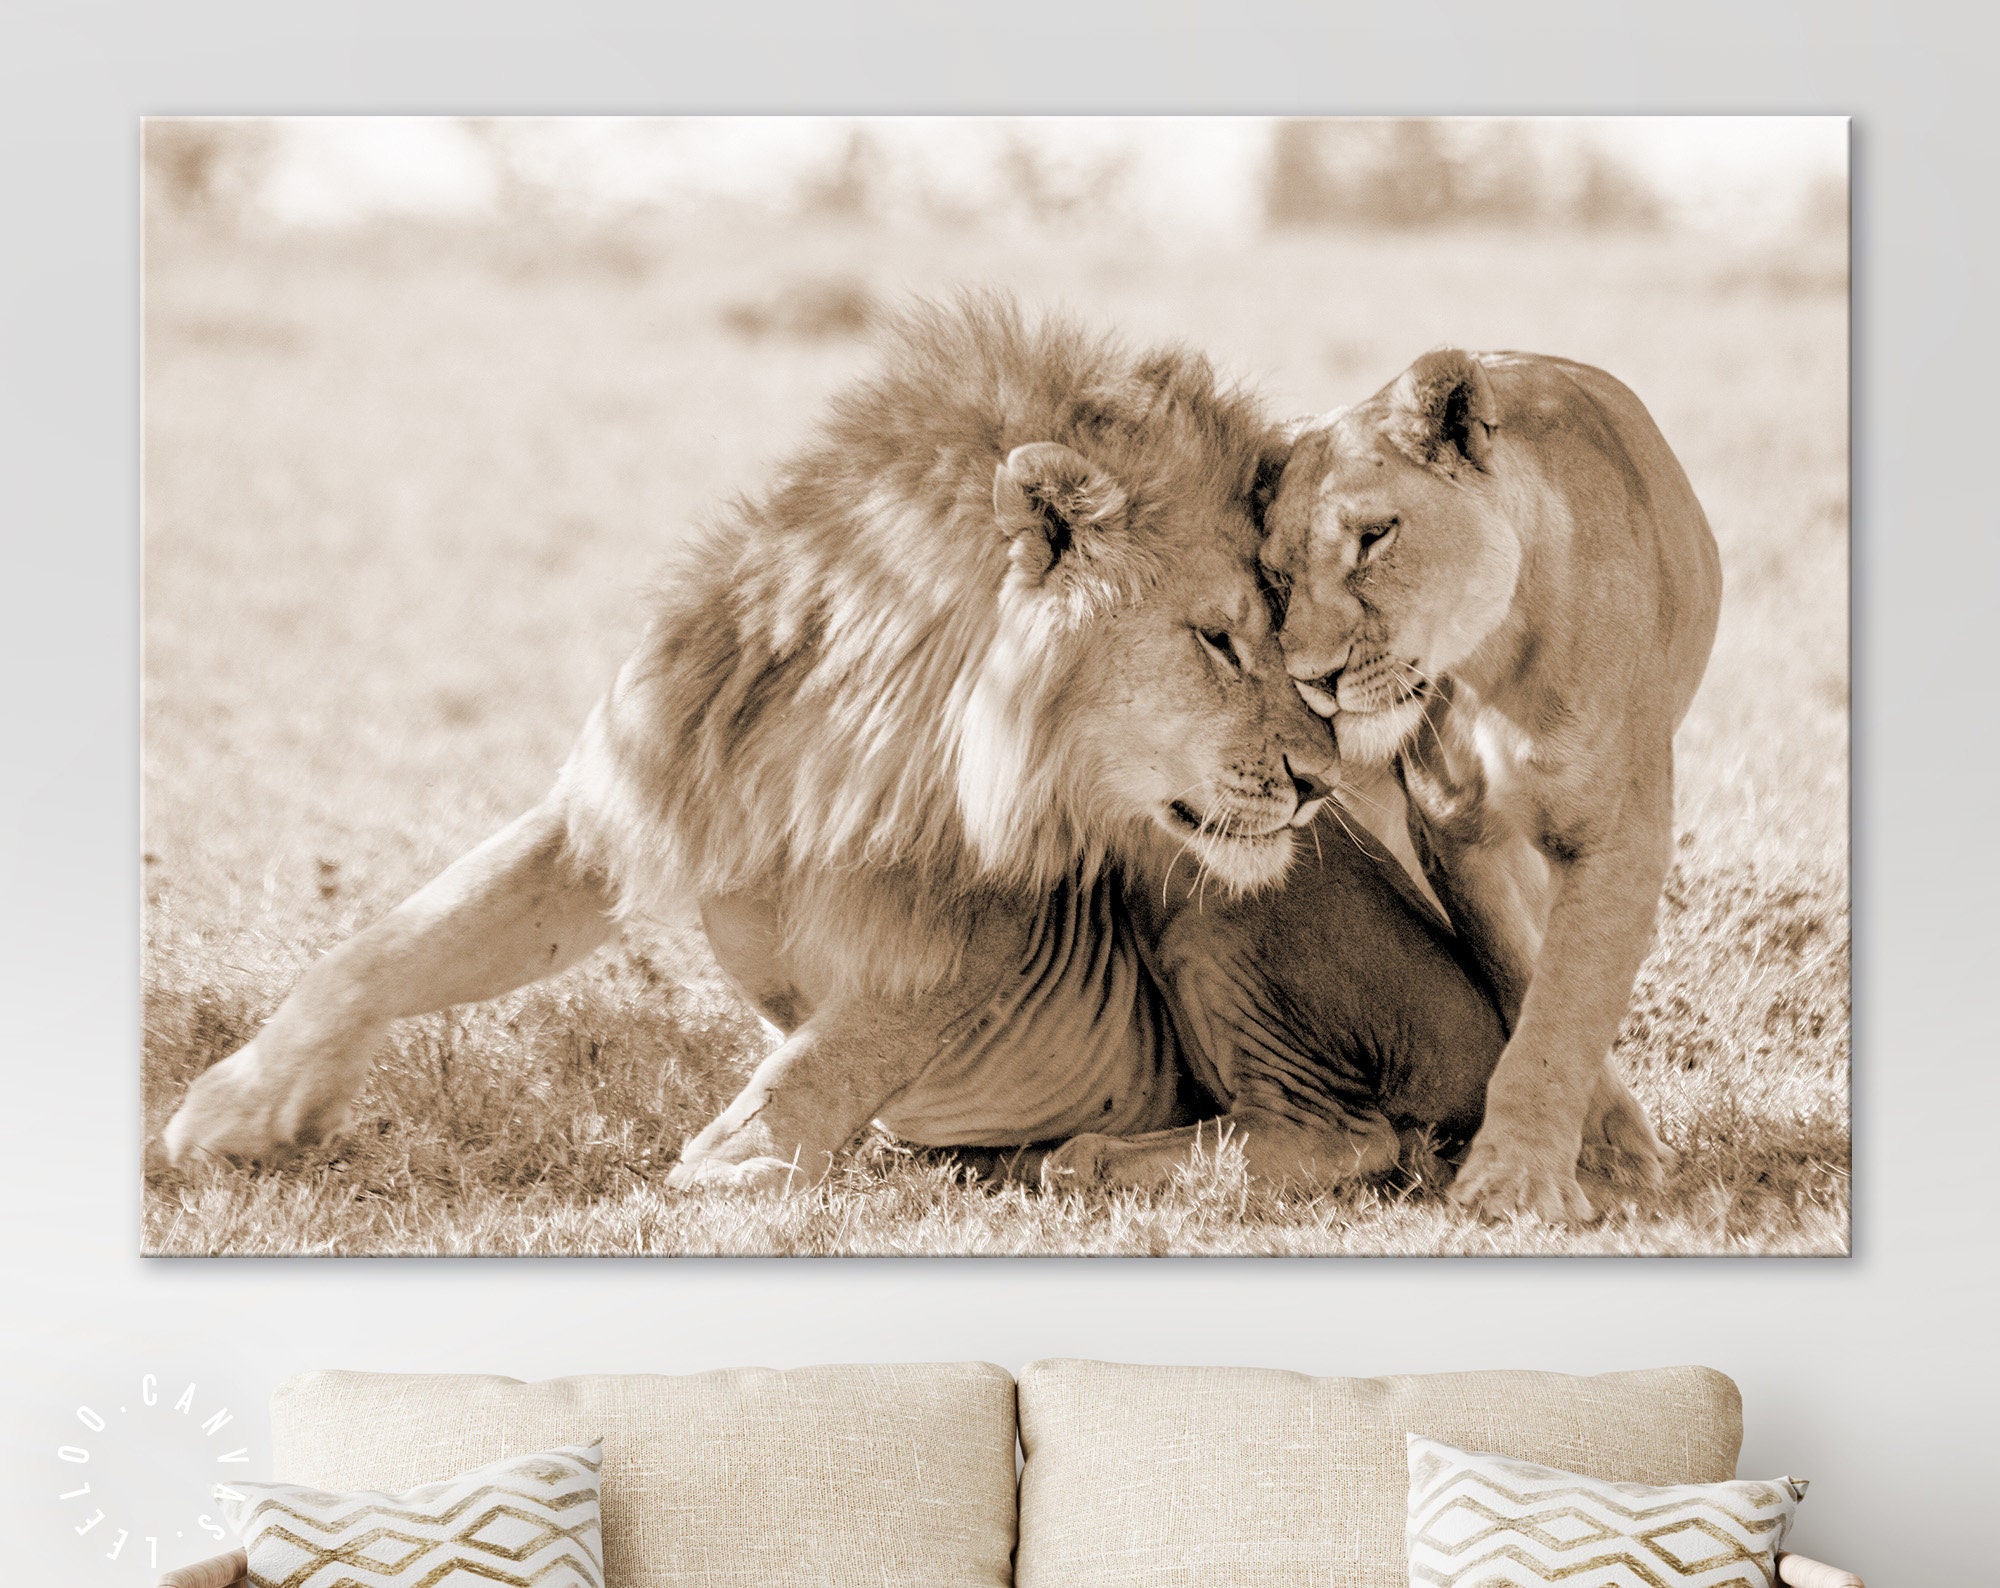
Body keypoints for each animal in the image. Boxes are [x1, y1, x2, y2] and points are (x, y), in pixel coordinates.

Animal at [1256, 349, 1723, 1223]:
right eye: (1275, 576)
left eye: (1374, 538)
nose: (1312, 680)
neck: (1491, 663)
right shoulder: (1453, 831)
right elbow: (1524, 975)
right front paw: (1580, 1145)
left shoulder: (1617, 834)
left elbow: (1565, 1004)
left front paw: (1518, 1178)